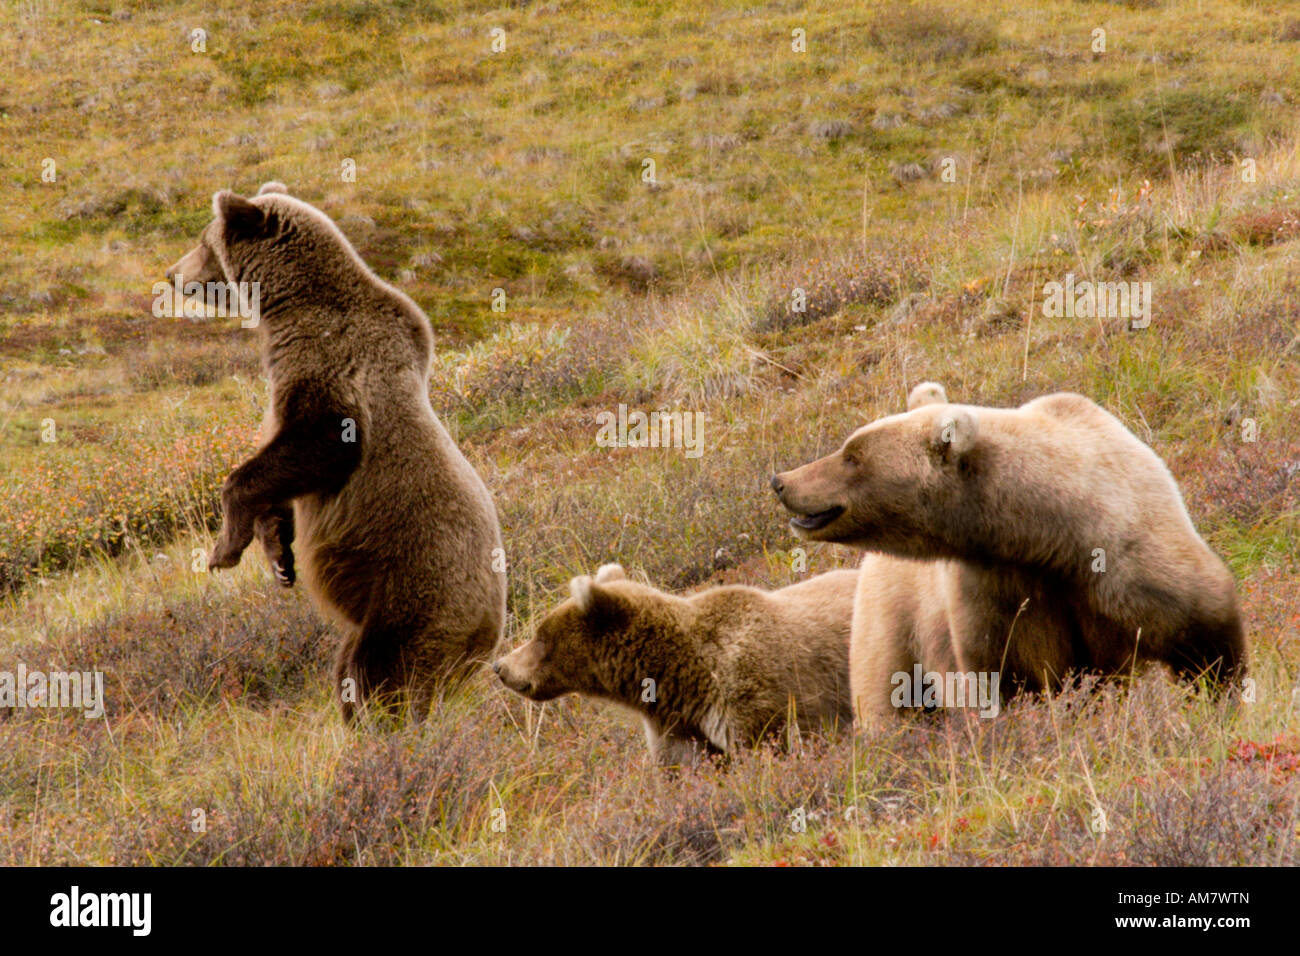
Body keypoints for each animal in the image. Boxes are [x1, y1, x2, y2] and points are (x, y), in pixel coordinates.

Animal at [165, 182, 507, 723]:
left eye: (202, 241)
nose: (172, 273)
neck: (288, 309)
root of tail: (490, 640)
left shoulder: (331, 367)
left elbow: (321, 444)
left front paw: (224, 548)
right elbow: (278, 469)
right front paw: (279, 556)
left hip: (417, 598)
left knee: (383, 670)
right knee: (349, 667)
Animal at [492, 564, 857, 766]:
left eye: (540, 638)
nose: (500, 666)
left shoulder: (750, 694)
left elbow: (763, 747)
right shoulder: (675, 724)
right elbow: (679, 767)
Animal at [770, 382, 1245, 726]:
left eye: (852, 456)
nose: (781, 480)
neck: (1047, 537)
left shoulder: (1130, 564)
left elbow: (1205, 637)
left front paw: (1223, 702)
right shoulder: (996, 593)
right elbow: (1006, 678)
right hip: (893, 625)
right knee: (887, 700)